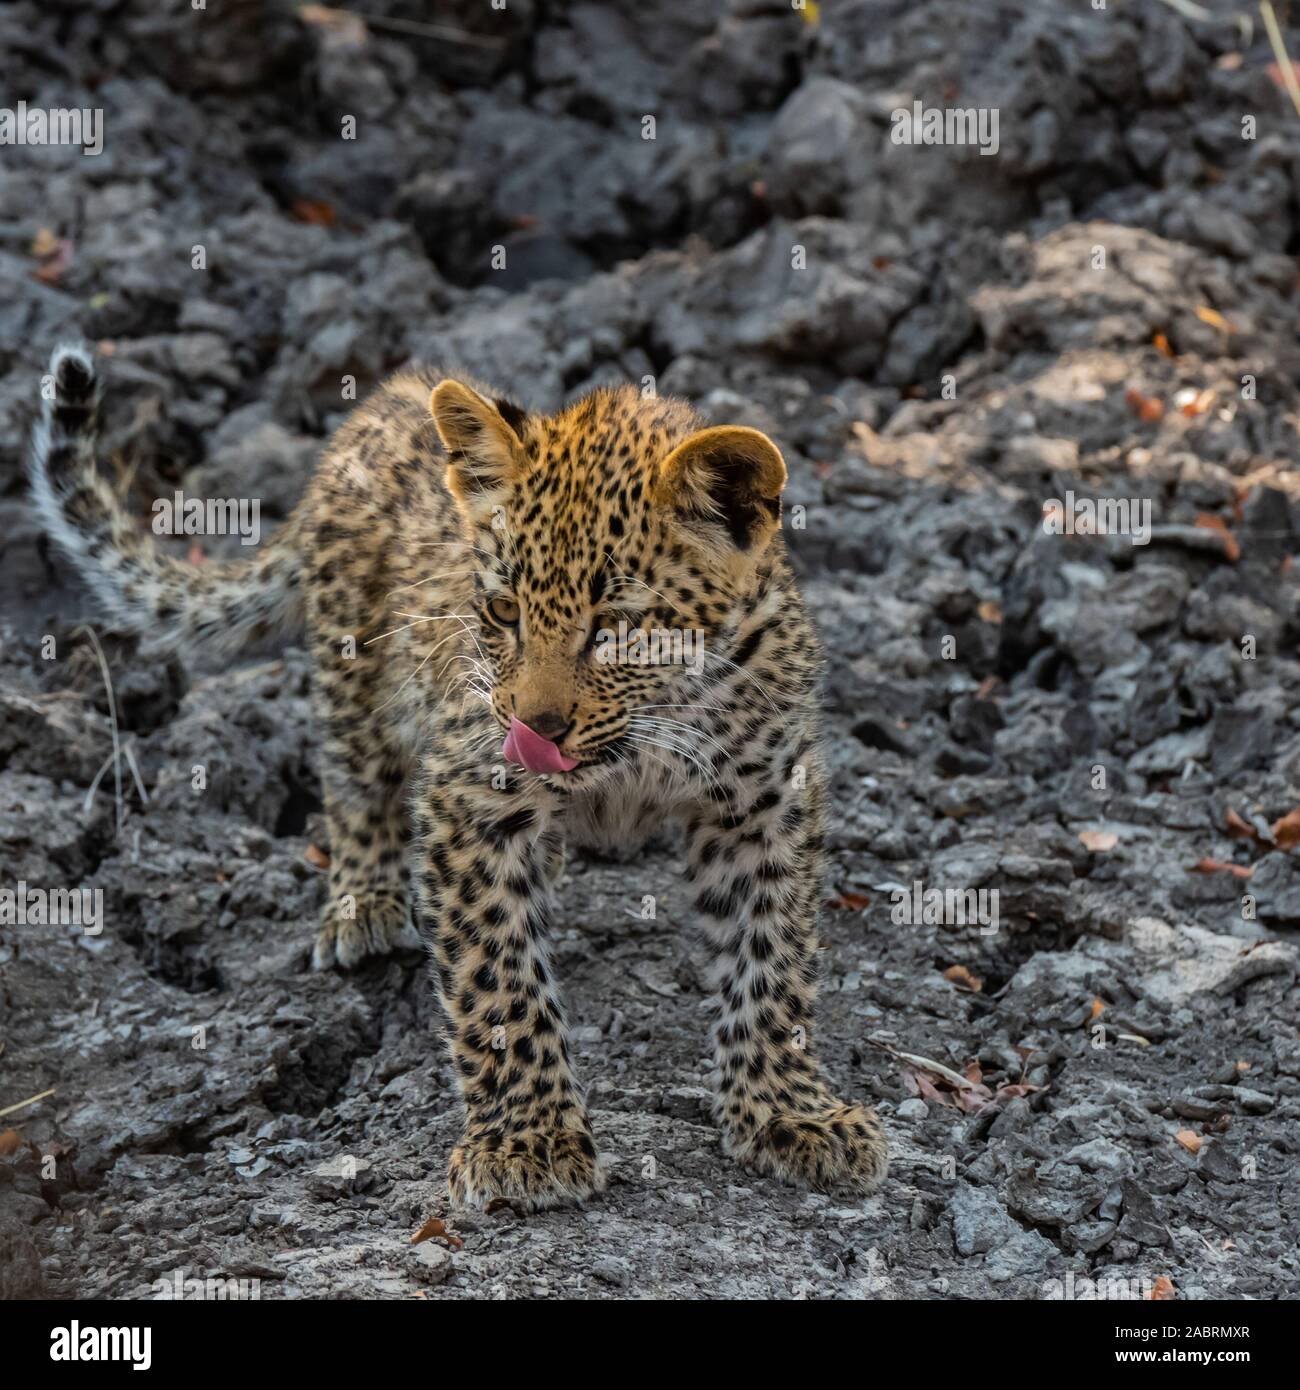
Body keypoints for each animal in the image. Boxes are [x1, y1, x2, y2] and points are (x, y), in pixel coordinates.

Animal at [28, 342, 888, 1211]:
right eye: (505, 612)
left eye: (617, 627)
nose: (533, 730)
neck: (648, 739)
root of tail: (382, 405)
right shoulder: (470, 800)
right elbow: (500, 978)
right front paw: (527, 1142)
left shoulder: (764, 801)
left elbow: (769, 958)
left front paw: (790, 1112)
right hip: (353, 680)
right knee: (355, 785)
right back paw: (365, 906)